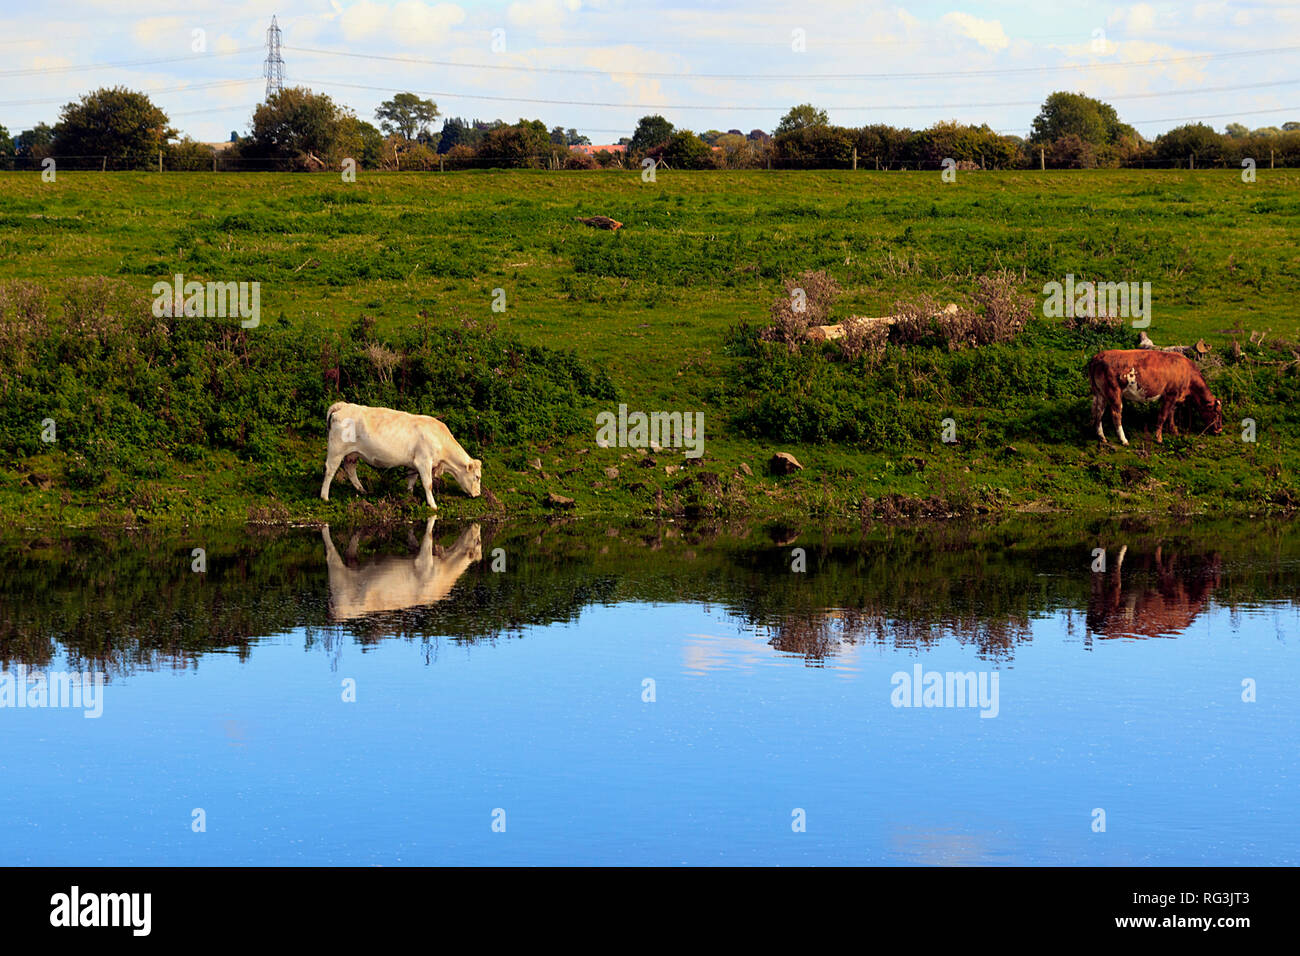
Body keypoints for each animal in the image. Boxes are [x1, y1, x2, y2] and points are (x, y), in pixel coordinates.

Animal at [320, 401, 482, 508]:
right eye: (477, 477)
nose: (478, 495)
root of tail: (343, 405)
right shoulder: (424, 461)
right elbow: (428, 484)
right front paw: (433, 505)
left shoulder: (414, 463)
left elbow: (411, 479)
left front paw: (409, 495)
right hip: (336, 450)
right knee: (330, 470)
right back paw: (325, 497)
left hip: (352, 454)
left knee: (350, 469)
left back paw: (362, 490)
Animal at [1087, 349, 1222, 445]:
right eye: (1216, 413)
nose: (1219, 430)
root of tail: (1098, 356)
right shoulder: (1170, 394)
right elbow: (1163, 416)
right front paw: (1158, 438)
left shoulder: (1174, 398)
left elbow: (1171, 414)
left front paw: (1174, 431)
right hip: (1114, 392)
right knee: (1116, 414)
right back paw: (1123, 440)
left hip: (1100, 393)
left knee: (1098, 411)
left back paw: (1101, 437)